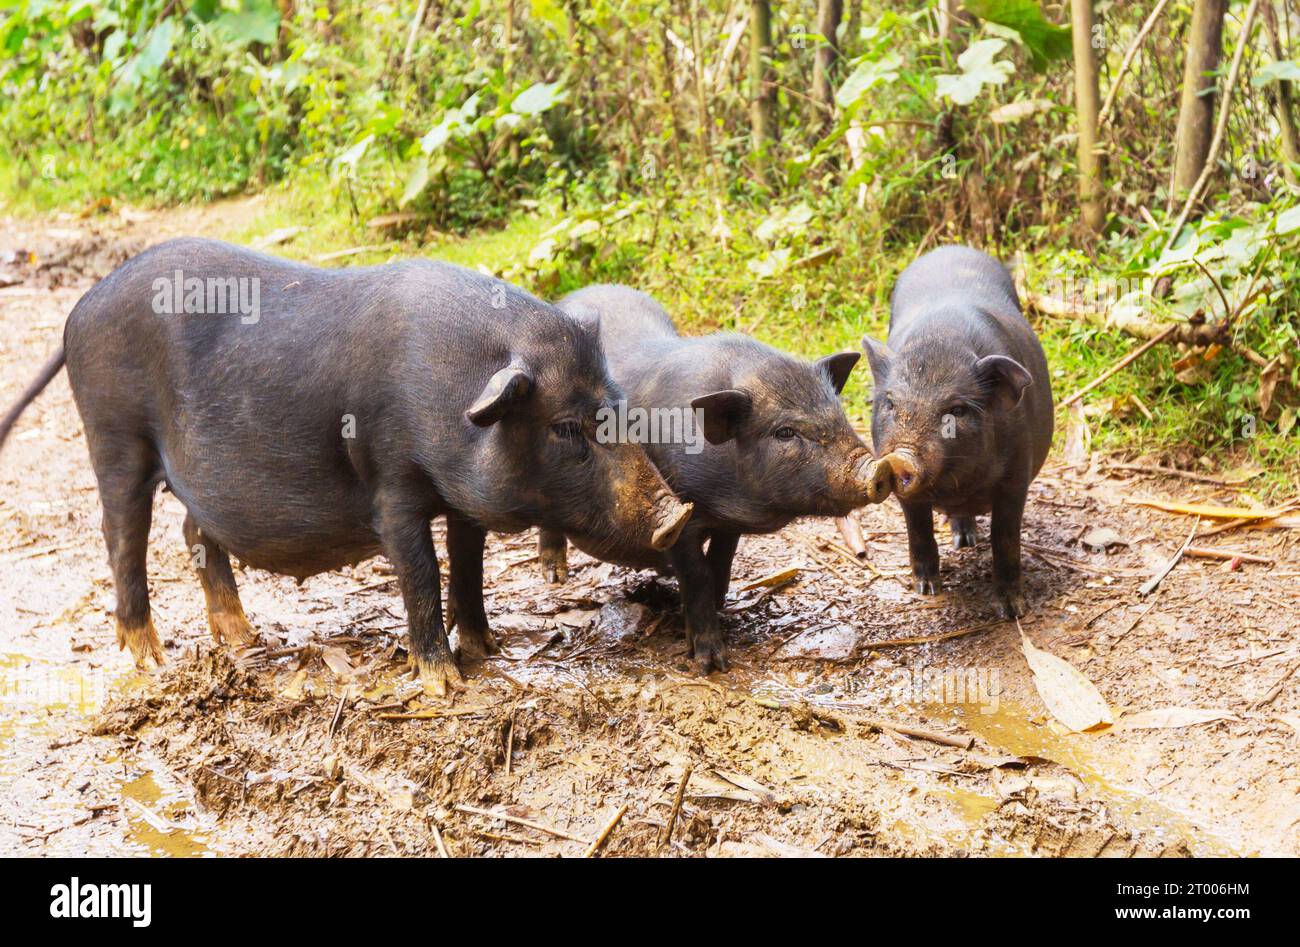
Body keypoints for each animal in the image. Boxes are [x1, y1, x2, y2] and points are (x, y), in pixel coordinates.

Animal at [0, 239, 691, 696]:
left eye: (618, 408)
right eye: (566, 427)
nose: (676, 514)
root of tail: (83, 306)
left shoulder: (462, 500)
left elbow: (469, 566)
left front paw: (489, 648)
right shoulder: (393, 487)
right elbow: (421, 571)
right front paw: (443, 684)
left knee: (193, 530)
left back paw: (244, 640)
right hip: (113, 437)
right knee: (123, 537)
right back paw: (151, 661)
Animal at [537, 285, 897, 674]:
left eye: (838, 412)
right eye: (785, 432)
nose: (879, 469)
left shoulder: (729, 522)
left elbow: (722, 561)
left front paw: (722, 604)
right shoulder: (678, 515)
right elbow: (698, 577)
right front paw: (712, 665)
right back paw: (555, 577)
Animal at [862, 246, 1053, 618]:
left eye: (957, 410)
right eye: (890, 403)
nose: (901, 456)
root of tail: (948, 248)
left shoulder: (1016, 475)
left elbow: (1005, 537)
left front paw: (1012, 610)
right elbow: (918, 529)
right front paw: (927, 589)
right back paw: (962, 542)